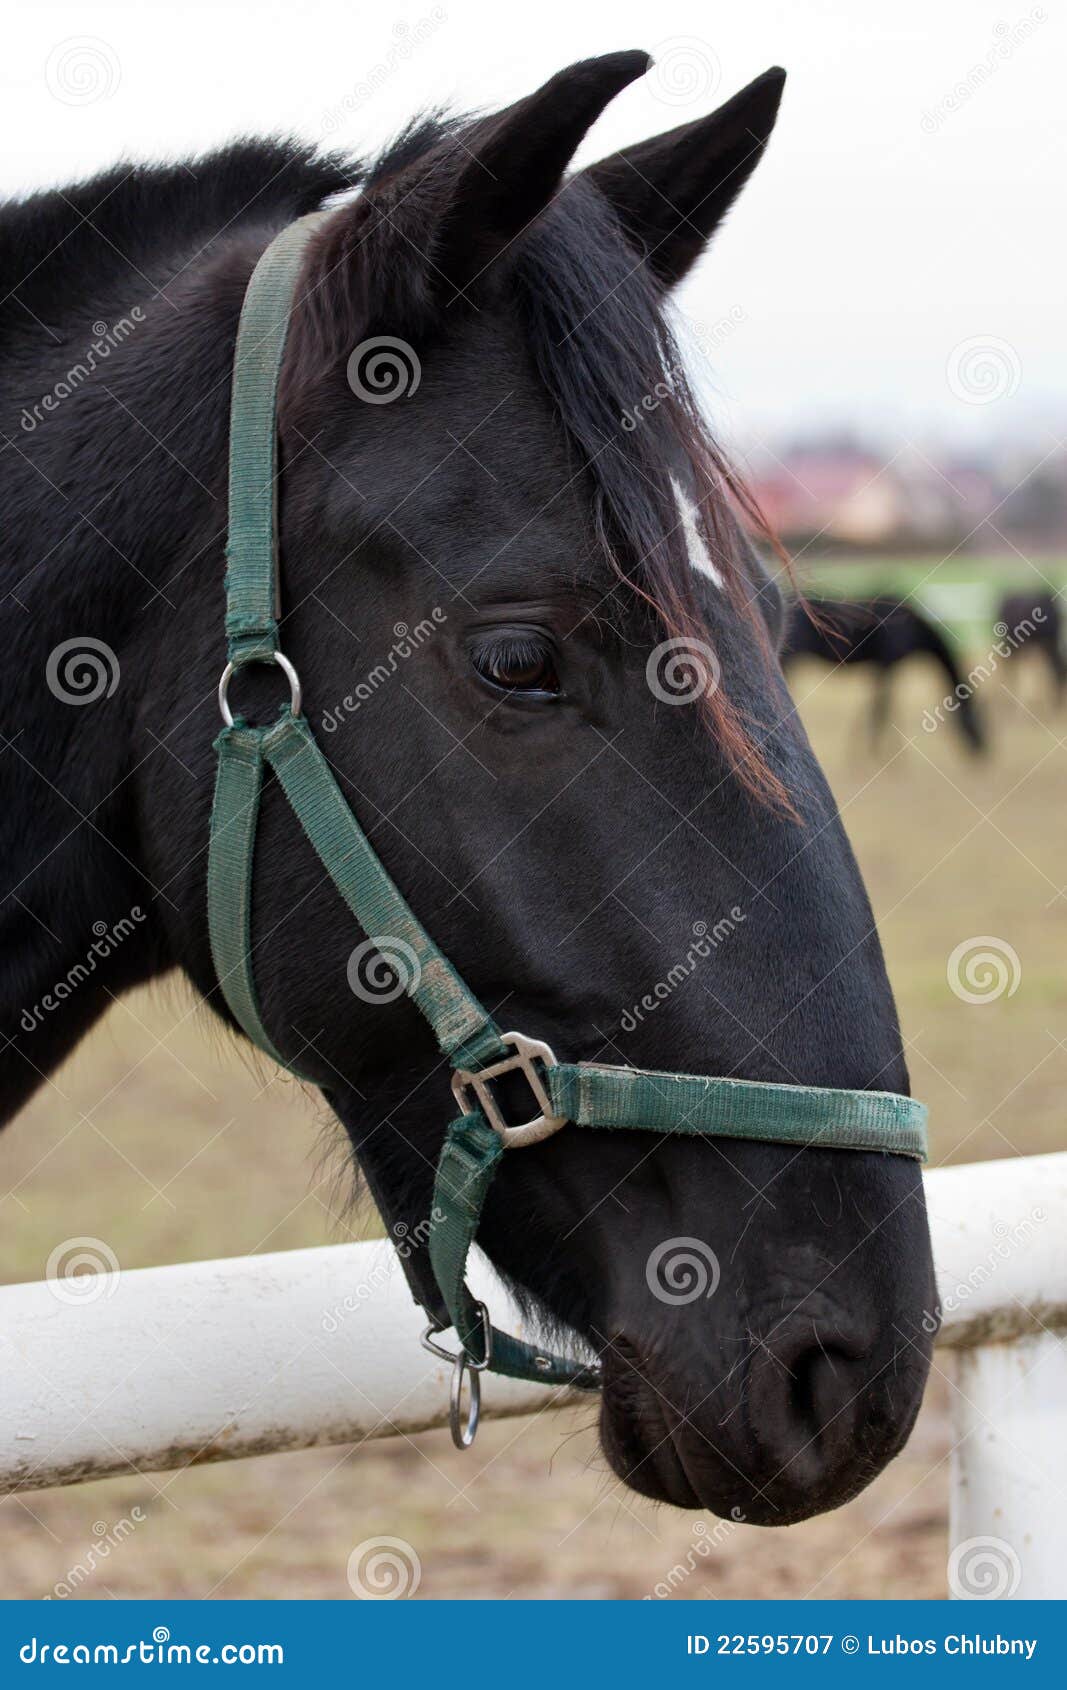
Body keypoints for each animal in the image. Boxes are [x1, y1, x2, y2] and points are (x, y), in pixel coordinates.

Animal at [783, 596, 987, 754]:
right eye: (978, 722)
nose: (983, 751)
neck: (912, 627)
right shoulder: (887, 664)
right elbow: (881, 708)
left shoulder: (883, 667)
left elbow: (879, 707)